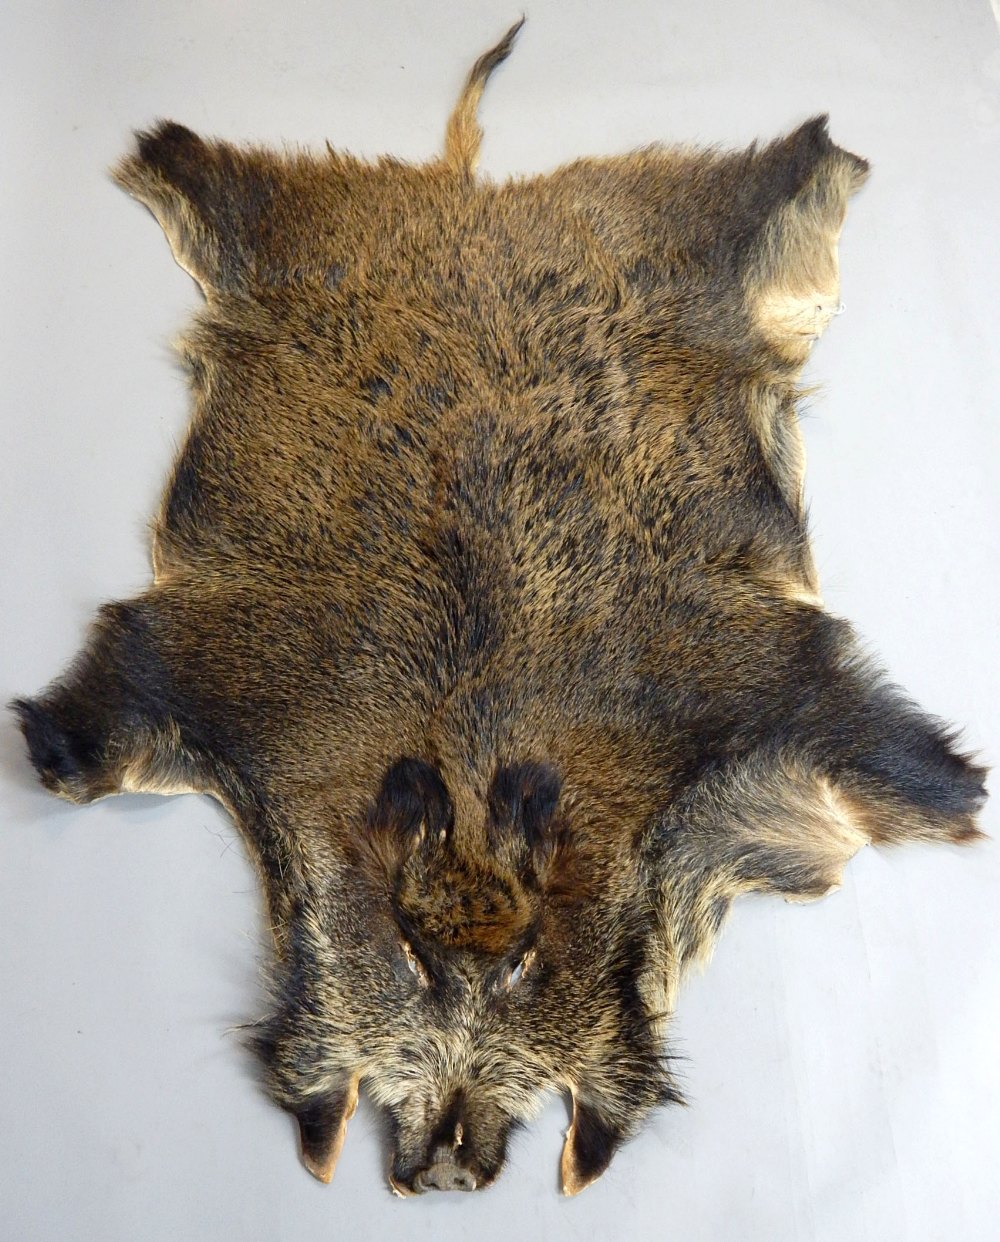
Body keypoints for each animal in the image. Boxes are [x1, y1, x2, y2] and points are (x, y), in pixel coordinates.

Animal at [13, 19, 986, 1195]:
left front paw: (963, 800)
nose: (440, 1172)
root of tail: (474, 191)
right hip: (280, 225)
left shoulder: (773, 696)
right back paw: (172, 154)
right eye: (406, 956)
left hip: (706, 226)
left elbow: (913, 775)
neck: (475, 754)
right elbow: (78, 743)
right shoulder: (198, 673)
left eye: (526, 966)